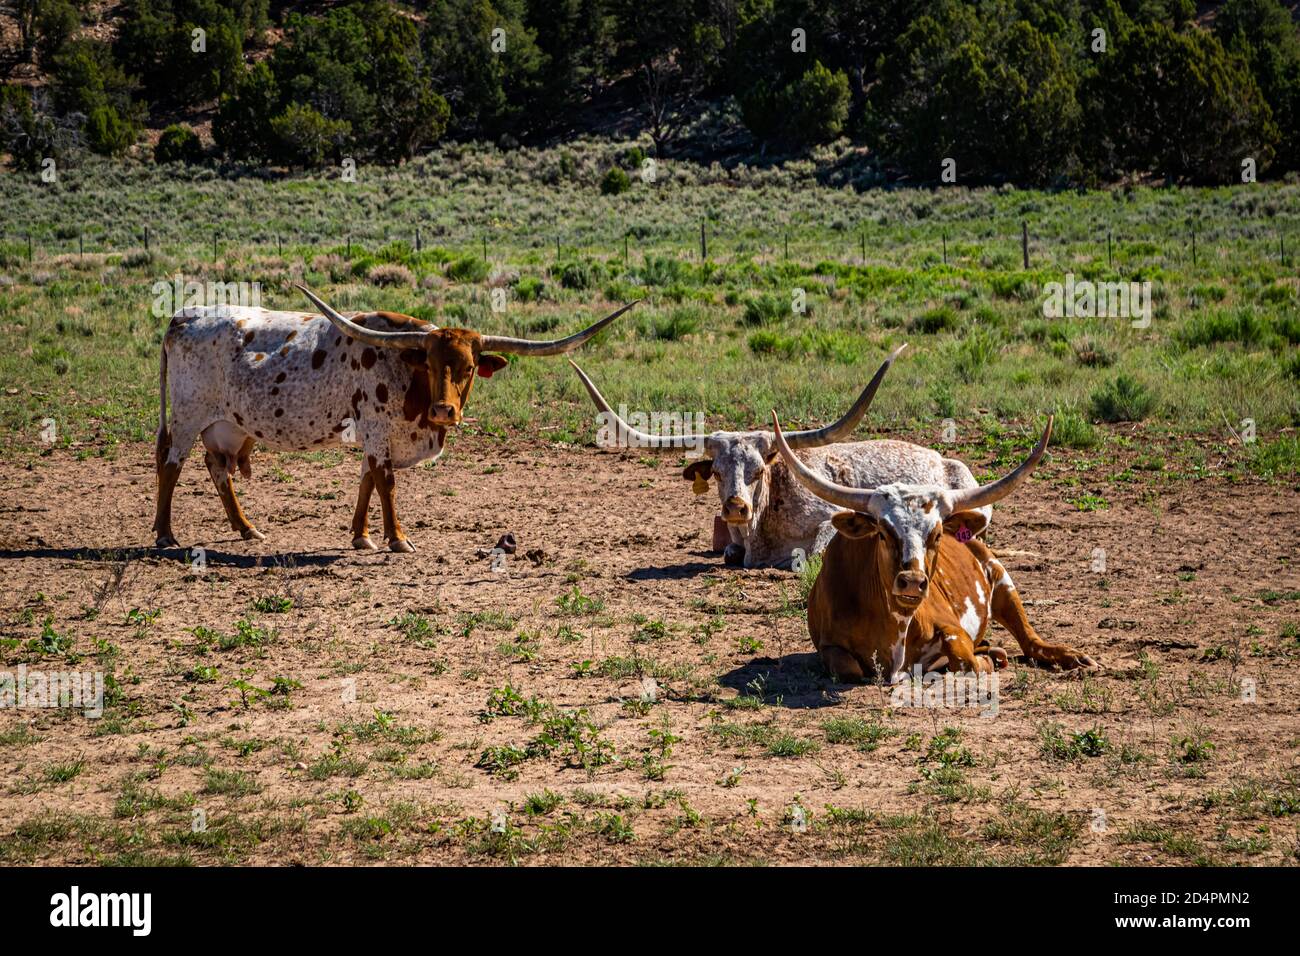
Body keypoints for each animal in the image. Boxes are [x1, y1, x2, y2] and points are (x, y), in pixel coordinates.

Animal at [153, 285, 638, 553]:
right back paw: (165, 534)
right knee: (171, 464)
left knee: (217, 468)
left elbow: (367, 479)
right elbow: (385, 481)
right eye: (430, 362)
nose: (445, 410)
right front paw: (397, 538)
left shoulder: (375, 436)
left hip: (226, 424)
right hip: (188, 414)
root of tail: (184, 316)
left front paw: (361, 535)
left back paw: (246, 529)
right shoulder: (378, 429)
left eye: (468, 367)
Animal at [568, 344, 992, 569]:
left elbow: (809, 553)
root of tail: (937, 456)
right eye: (717, 472)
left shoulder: (829, 520)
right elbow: (729, 553)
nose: (736, 507)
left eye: (758, 471)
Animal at [769, 410, 1098, 682]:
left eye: (937, 534)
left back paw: (1070, 657)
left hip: (1002, 579)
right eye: (883, 533)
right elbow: (848, 668)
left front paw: (982, 660)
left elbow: (966, 662)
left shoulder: (952, 628)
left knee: (1031, 641)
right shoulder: (829, 646)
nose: (912, 582)